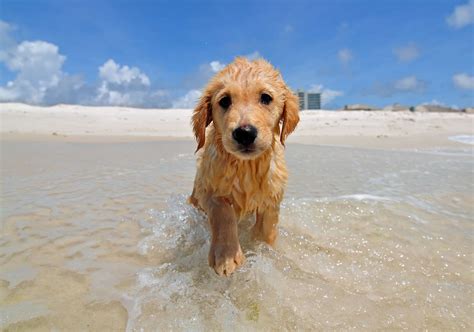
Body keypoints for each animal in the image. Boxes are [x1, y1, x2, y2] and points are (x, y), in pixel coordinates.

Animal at [190, 56, 298, 274]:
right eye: (224, 101)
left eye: (266, 98)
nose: (245, 133)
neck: (246, 166)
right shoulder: (207, 187)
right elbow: (223, 212)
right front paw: (225, 256)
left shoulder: (272, 198)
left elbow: (266, 229)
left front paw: (261, 247)